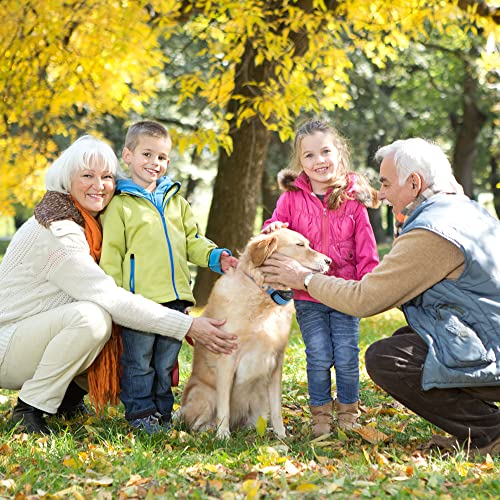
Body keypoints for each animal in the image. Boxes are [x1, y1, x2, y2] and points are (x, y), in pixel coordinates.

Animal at [177, 229, 332, 440]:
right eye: (300, 245)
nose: (329, 261)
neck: (263, 293)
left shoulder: (276, 361)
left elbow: (276, 408)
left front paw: (282, 435)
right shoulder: (227, 357)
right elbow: (224, 406)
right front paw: (223, 435)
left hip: (258, 394)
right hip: (204, 393)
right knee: (196, 423)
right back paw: (210, 430)